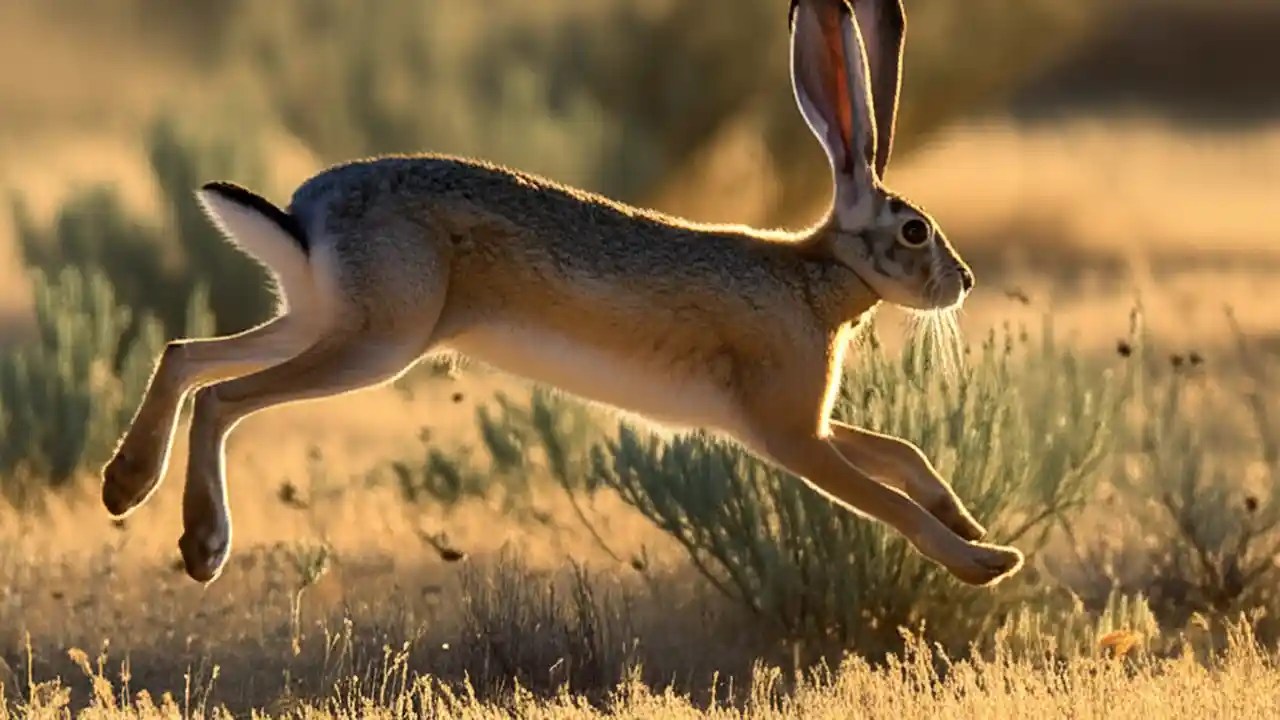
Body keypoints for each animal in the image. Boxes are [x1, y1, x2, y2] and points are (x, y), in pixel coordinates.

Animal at [101, 0, 1023, 587]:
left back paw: (125, 484)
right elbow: (882, 500)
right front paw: (986, 563)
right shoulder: (789, 432)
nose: (965, 281)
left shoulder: (796, 422)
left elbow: (900, 457)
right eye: (915, 231)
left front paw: (971, 523)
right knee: (223, 397)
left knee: (186, 355)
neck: (817, 277)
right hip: (375, 344)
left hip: (323, 321)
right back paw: (201, 543)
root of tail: (307, 215)